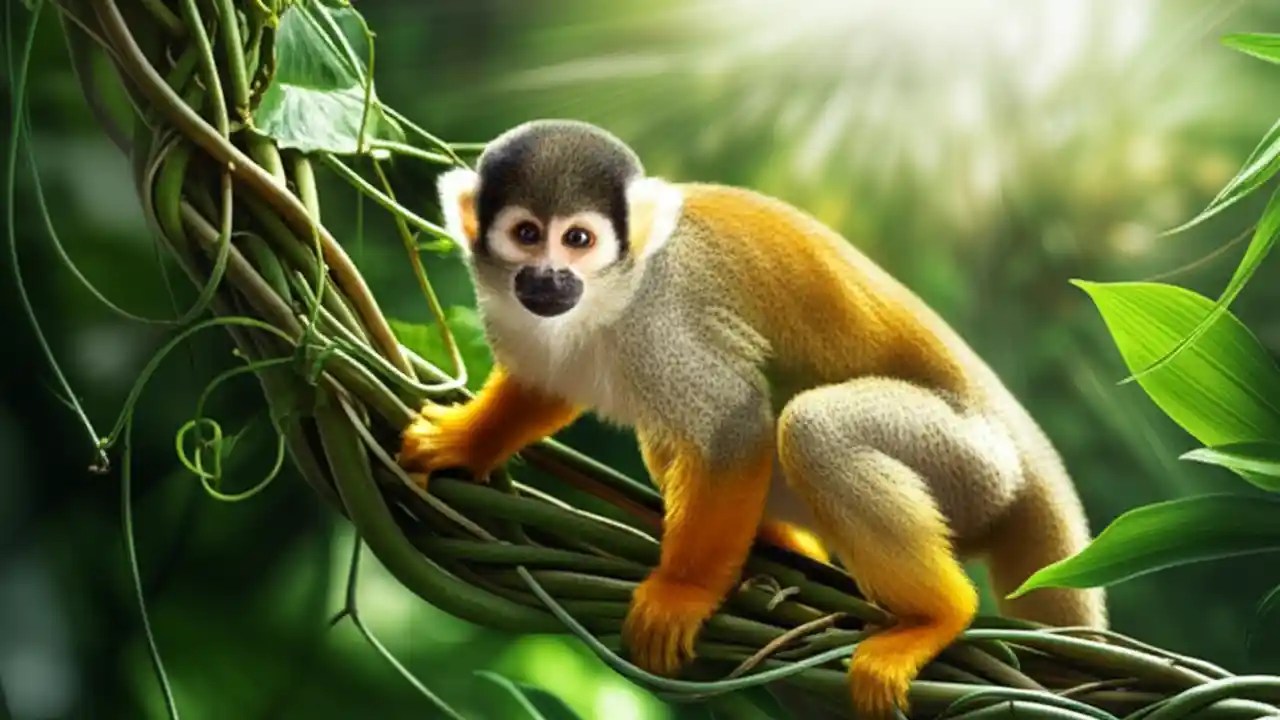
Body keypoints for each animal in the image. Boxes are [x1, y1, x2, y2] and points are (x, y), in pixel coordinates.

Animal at [398, 119, 1107, 718]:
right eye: (526, 234)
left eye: (578, 240)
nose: (547, 278)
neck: (611, 293)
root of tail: (1023, 441)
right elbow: (545, 384)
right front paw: (465, 441)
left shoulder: (661, 323)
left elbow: (733, 429)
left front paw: (683, 593)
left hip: (973, 464)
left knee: (812, 429)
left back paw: (935, 617)